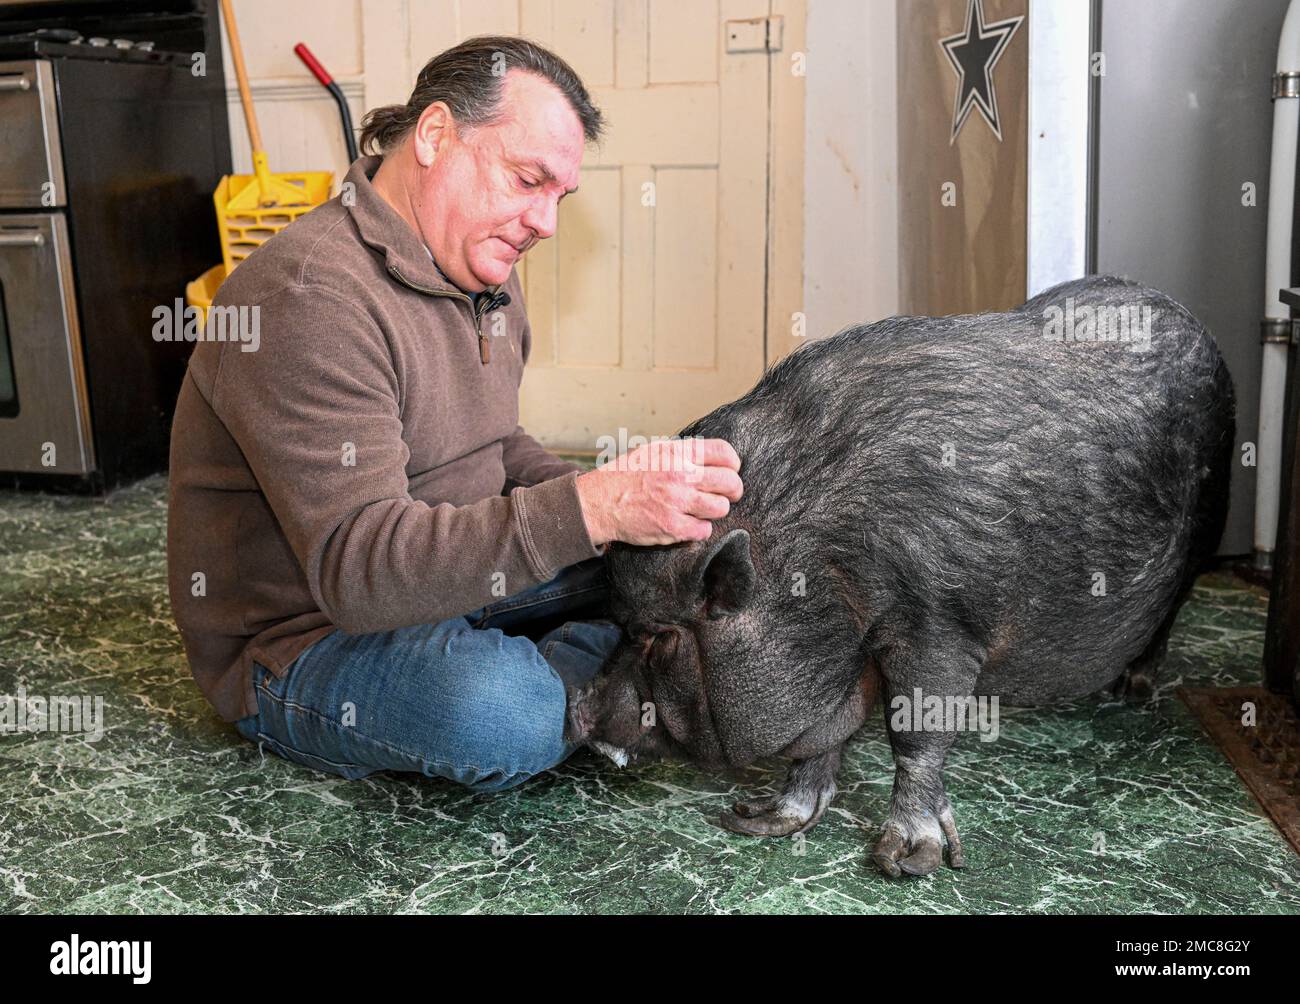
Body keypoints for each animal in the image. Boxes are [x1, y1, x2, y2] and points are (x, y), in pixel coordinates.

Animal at [565, 274, 1235, 877]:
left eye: (659, 635)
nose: (578, 704)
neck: (818, 565)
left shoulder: (943, 624)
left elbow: (916, 730)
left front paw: (908, 862)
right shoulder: (849, 651)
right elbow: (825, 735)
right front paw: (757, 820)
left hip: (1208, 529)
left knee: (1172, 609)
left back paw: (1136, 689)